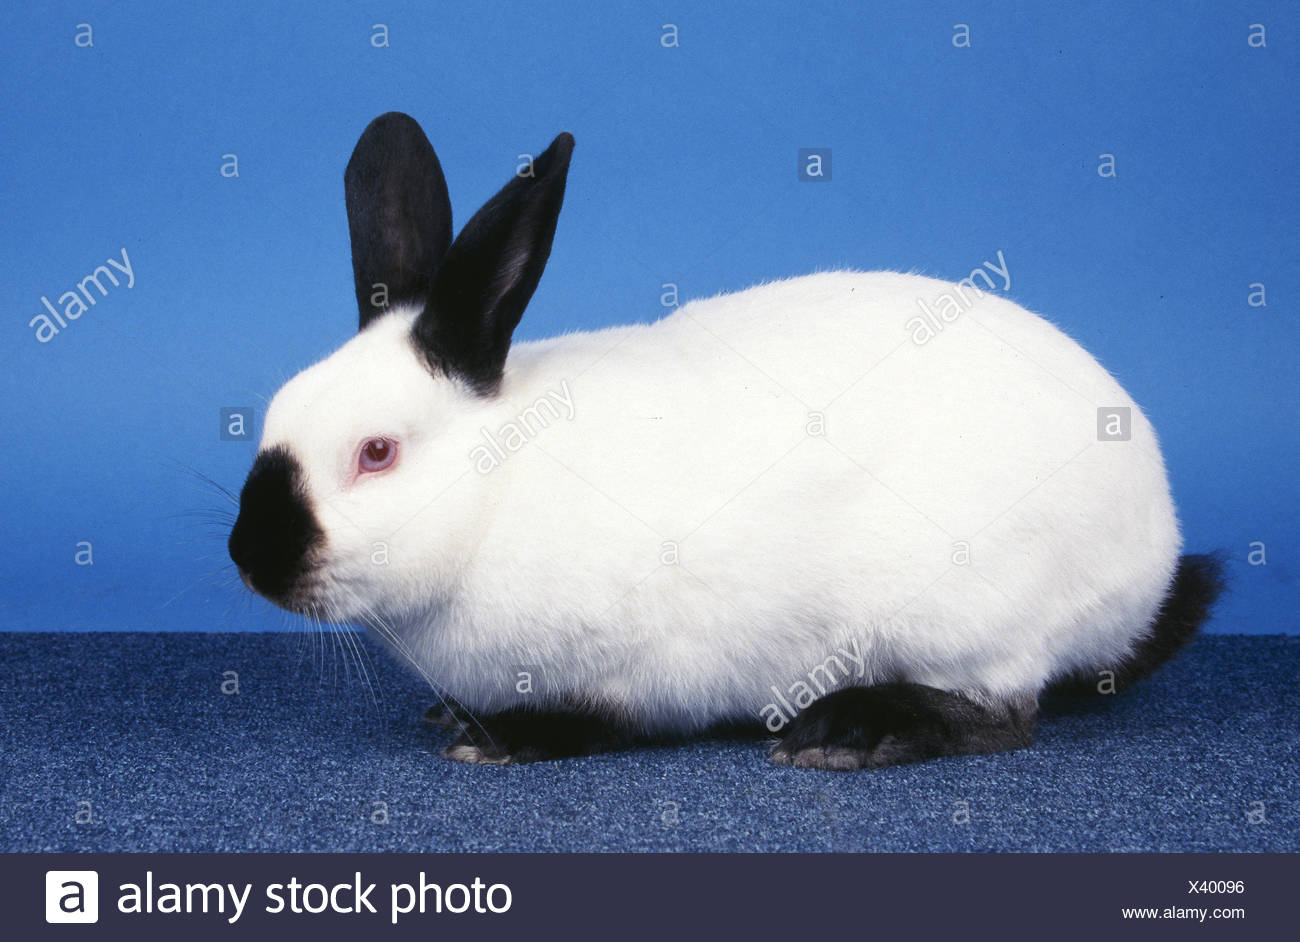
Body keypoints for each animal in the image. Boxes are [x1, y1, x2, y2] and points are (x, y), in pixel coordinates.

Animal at [228, 112, 1225, 770]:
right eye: (277, 410)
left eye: (377, 454)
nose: (248, 555)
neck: (495, 492)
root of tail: (1155, 547)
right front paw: (449, 717)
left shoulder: (642, 665)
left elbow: (601, 719)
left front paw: (495, 740)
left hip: (972, 610)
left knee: (1006, 711)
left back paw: (853, 731)